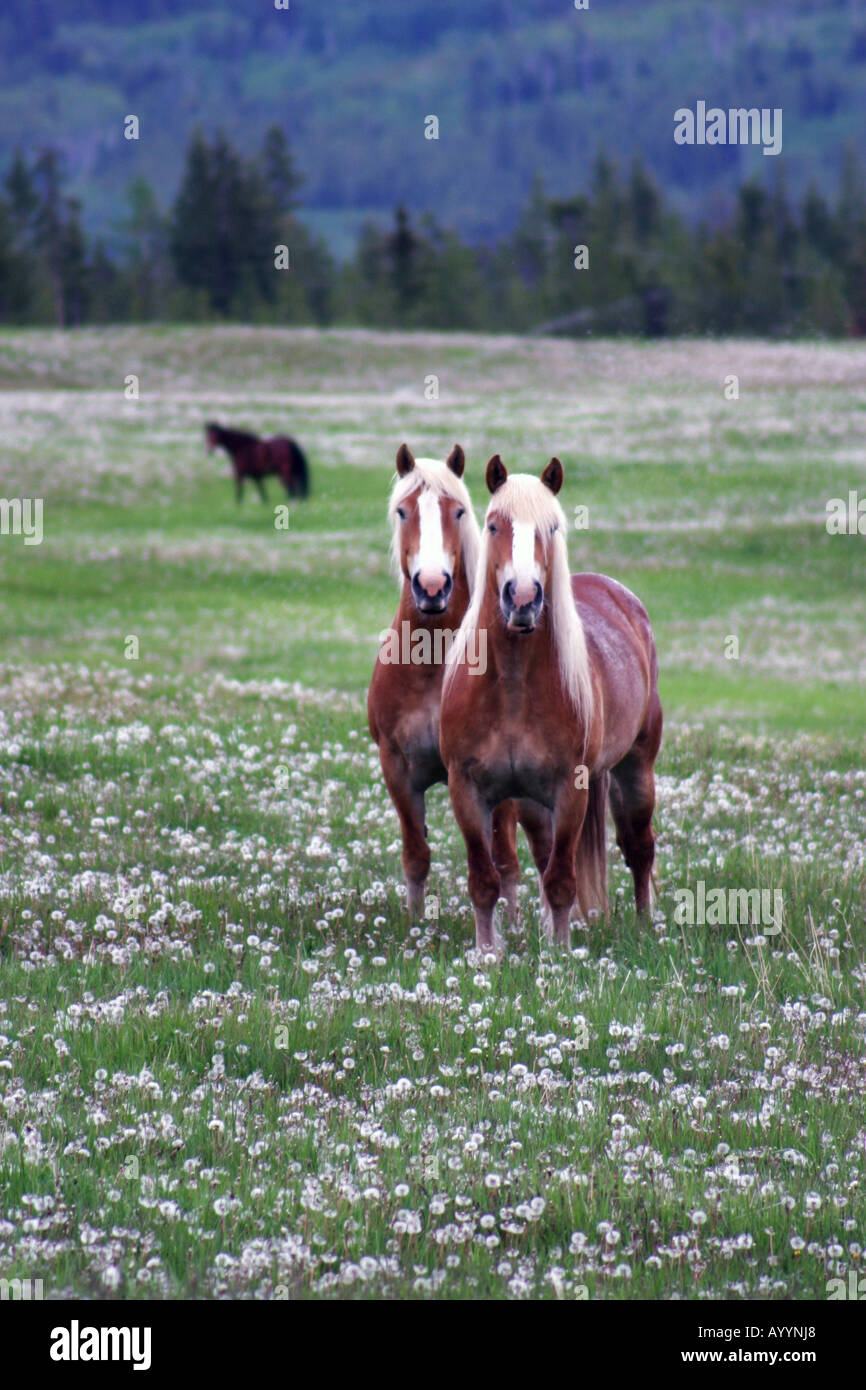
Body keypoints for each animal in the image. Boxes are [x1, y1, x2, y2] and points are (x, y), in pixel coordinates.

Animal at [368, 443, 528, 923]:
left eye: (457, 512)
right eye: (403, 511)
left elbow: (504, 861)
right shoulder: (397, 768)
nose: (433, 587)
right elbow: (416, 856)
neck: (431, 665)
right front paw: (415, 924)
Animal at [440, 454, 663, 955]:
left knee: (639, 848)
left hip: (635, 770)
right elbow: (485, 880)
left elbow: (562, 879)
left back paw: (644, 925)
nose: (523, 598)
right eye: (494, 525)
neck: (513, 687)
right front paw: (487, 952)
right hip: (531, 803)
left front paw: (560, 952)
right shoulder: (468, 791)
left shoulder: (570, 789)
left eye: (552, 527)